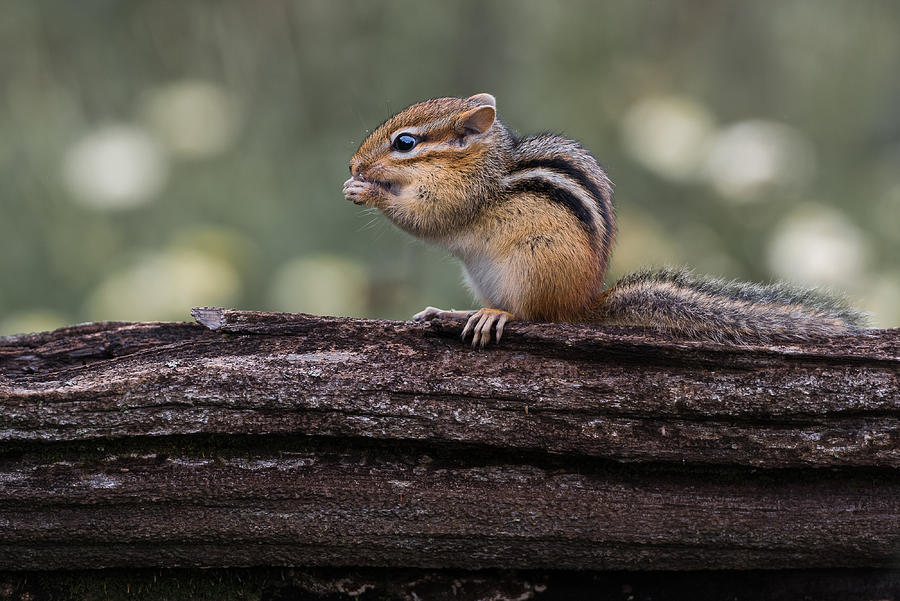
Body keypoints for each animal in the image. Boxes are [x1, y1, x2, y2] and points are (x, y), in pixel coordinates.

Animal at [343, 93, 867, 347]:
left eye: (405, 143)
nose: (353, 165)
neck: (479, 162)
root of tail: (584, 302)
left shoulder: (461, 195)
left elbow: (429, 217)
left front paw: (369, 191)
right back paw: (452, 313)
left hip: (531, 267)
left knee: (535, 315)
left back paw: (496, 315)